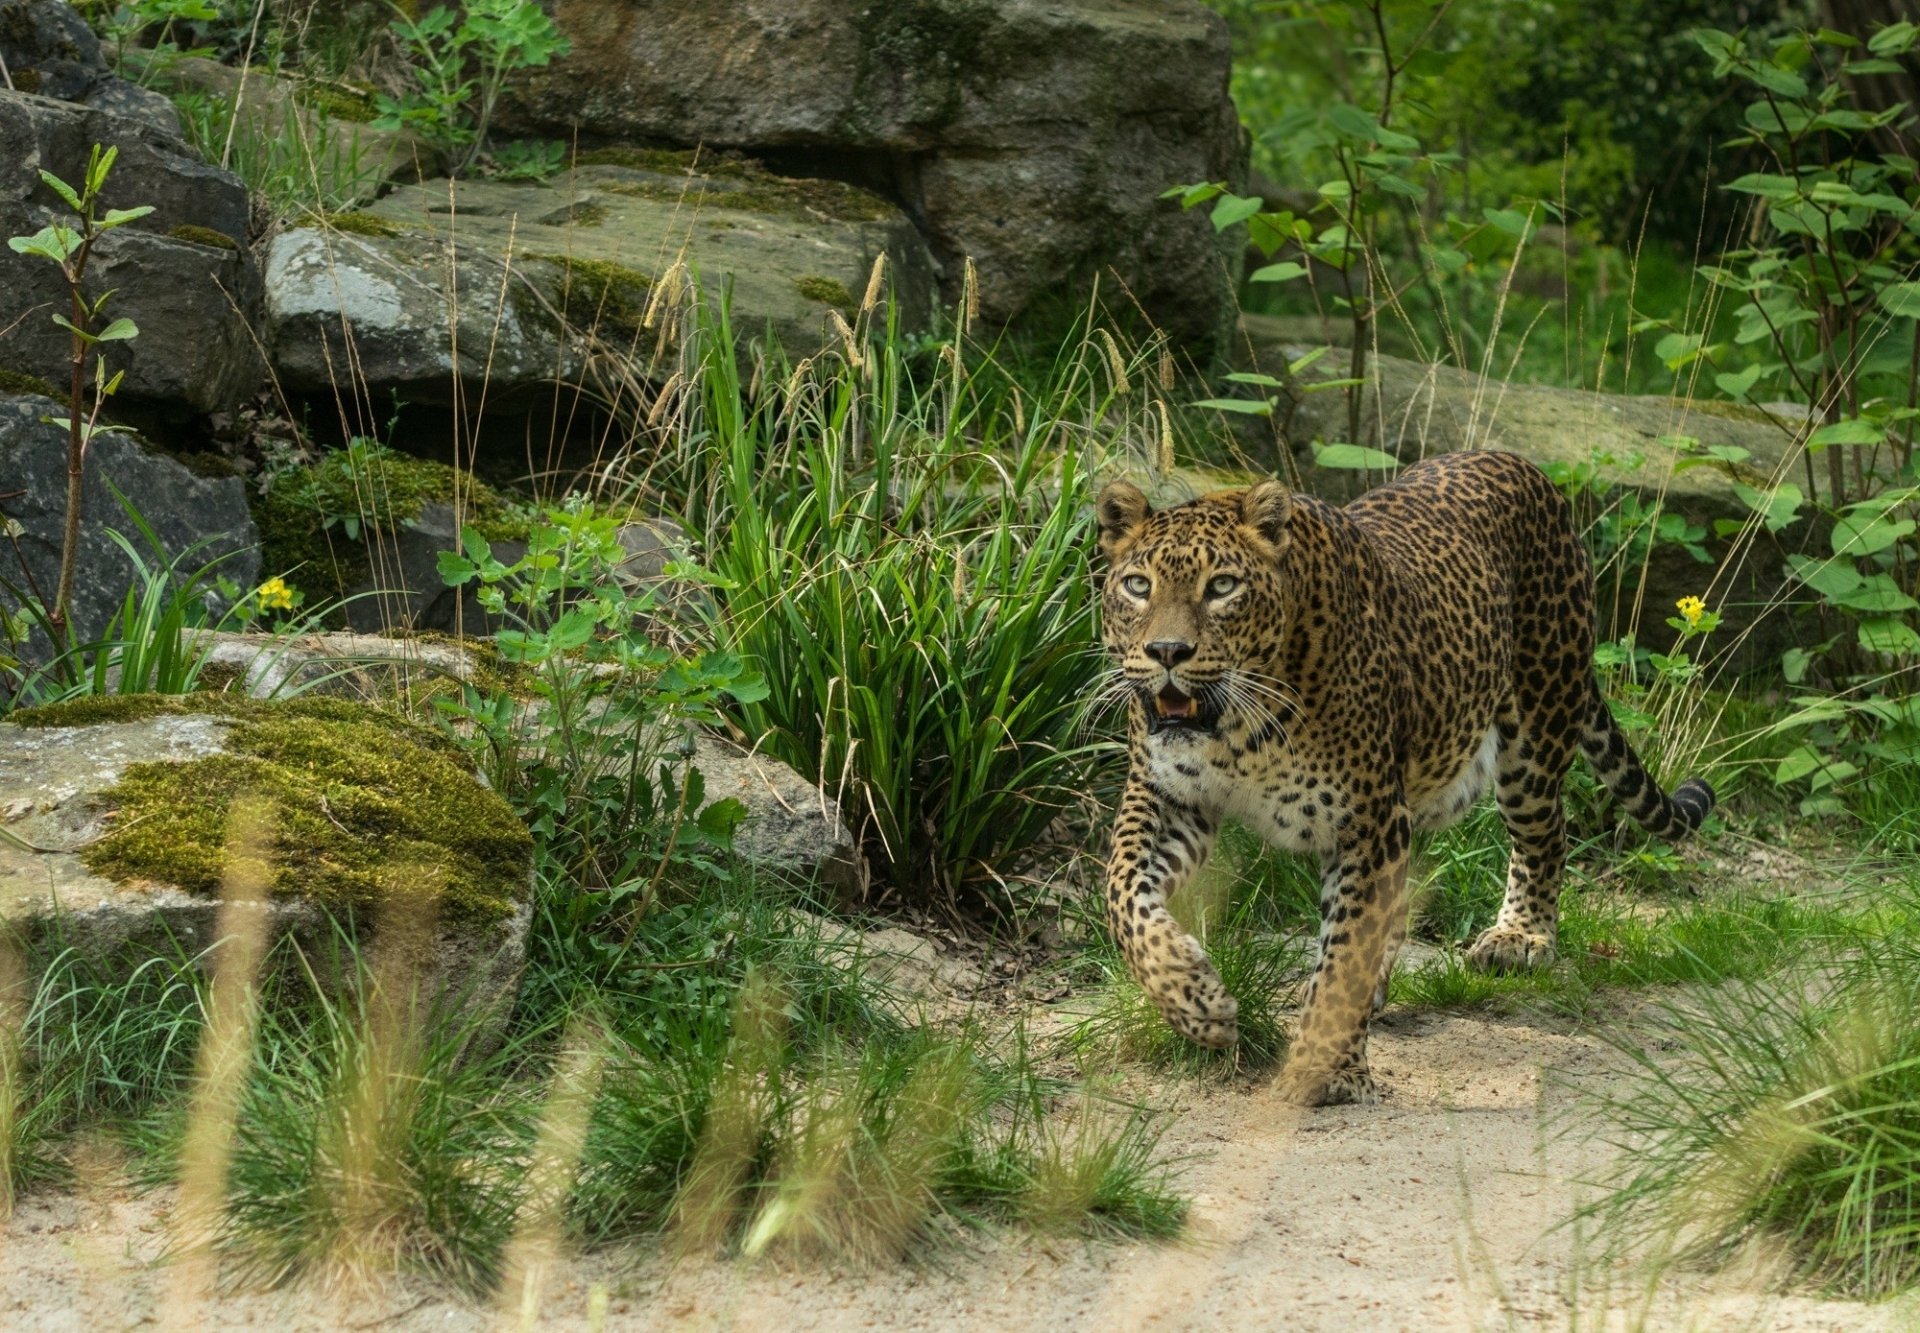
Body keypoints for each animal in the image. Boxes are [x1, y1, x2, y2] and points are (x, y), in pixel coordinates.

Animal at [1094, 449, 1714, 1107]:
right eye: (1138, 585)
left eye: (1222, 587)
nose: (1166, 651)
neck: (1237, 730)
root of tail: (1520, 464)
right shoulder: (1165, 795)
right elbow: (1122, 892)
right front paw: (1194, 1000)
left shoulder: (1367, 819)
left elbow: (1343, 954)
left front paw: (1329, 1069)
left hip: (1537, 730)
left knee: (1547, 834)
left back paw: (1521, 938)